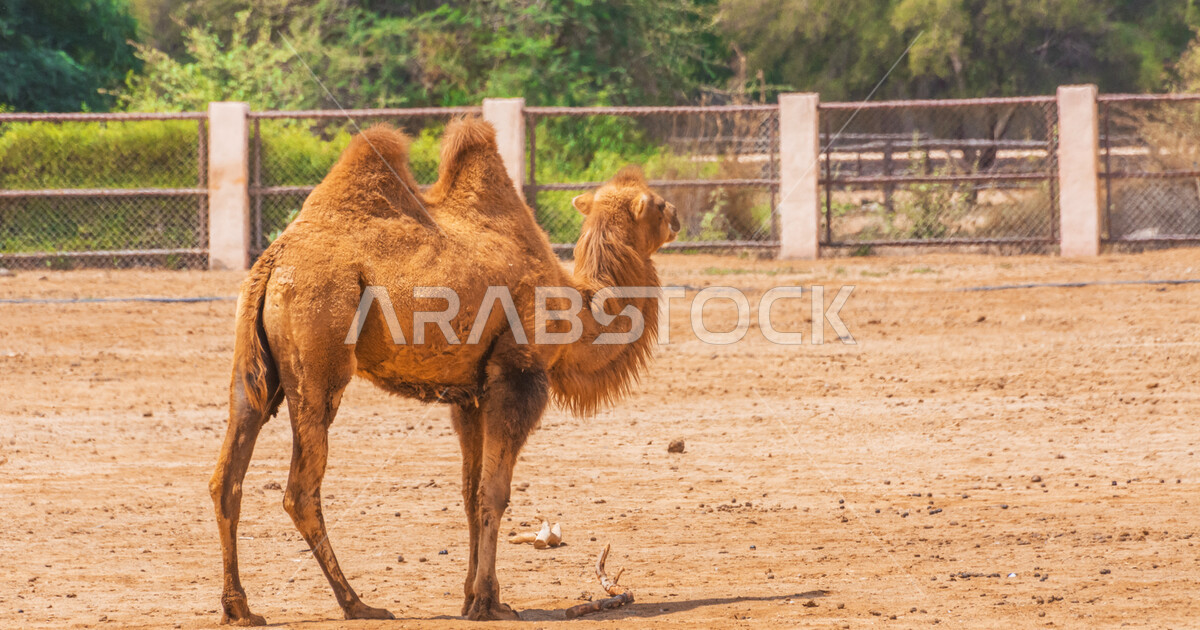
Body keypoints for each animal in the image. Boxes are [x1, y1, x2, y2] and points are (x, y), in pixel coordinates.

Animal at [209, 117, 679, 625]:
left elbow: (471, 495)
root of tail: (272, 262)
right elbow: (495, 492)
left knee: (227, 477)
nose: (677, 215)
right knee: (300, 488)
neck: (576, 307)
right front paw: (488, 603)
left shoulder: (470, 396)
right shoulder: (518, 377)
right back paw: (357, 603)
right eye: (655, 203)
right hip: (319, 354)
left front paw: (478, 597)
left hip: (253, 369)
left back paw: (239, 607)